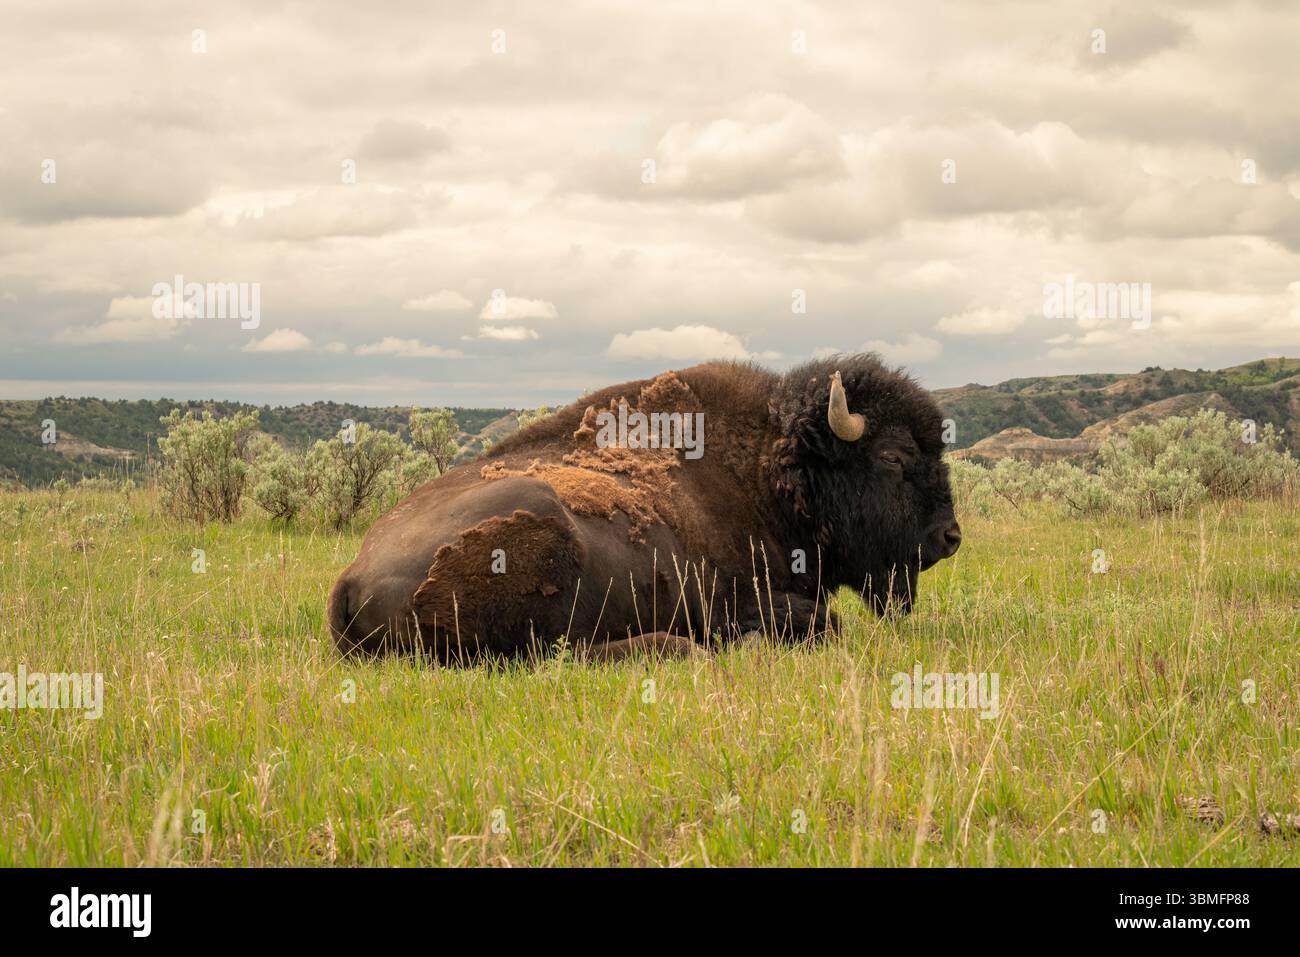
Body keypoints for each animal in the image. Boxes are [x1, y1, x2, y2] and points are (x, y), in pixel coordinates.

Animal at [327, 354, 961, 662]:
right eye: (895, 456)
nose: (949, 537)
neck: (768, 469)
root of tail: (350, 577)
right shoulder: (733, 600)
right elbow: (824, 622)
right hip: (541, 532)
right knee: (553, 654)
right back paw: (677, 648)